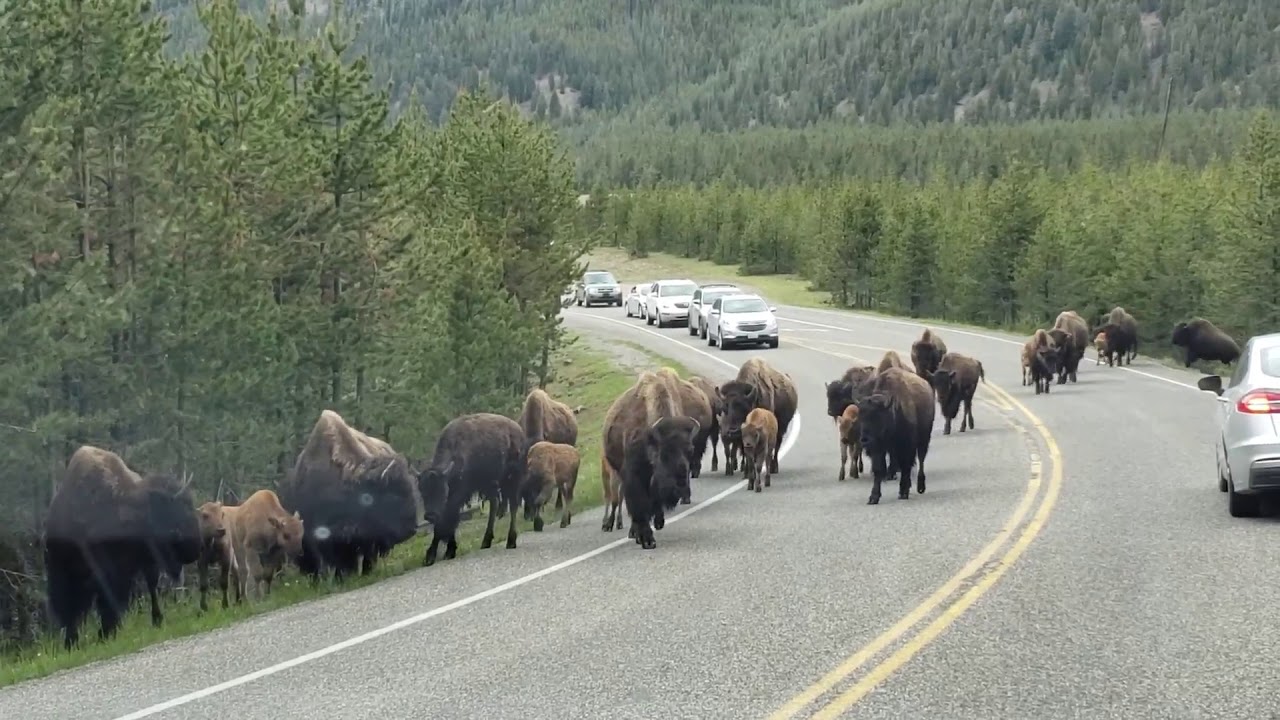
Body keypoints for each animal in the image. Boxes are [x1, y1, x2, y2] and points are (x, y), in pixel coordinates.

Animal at [419, 412, 526, 566]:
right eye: (422, 492)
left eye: (443, 493)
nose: (430, 515)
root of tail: (519, 431)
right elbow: (446, 520)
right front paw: (438, 554)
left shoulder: (458, 494)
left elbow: (448, 520)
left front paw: (443, 552)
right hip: (490, 484)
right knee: (495, 504)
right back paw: (486, 541)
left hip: (511, 479)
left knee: (513, 506)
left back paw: (511, 541)